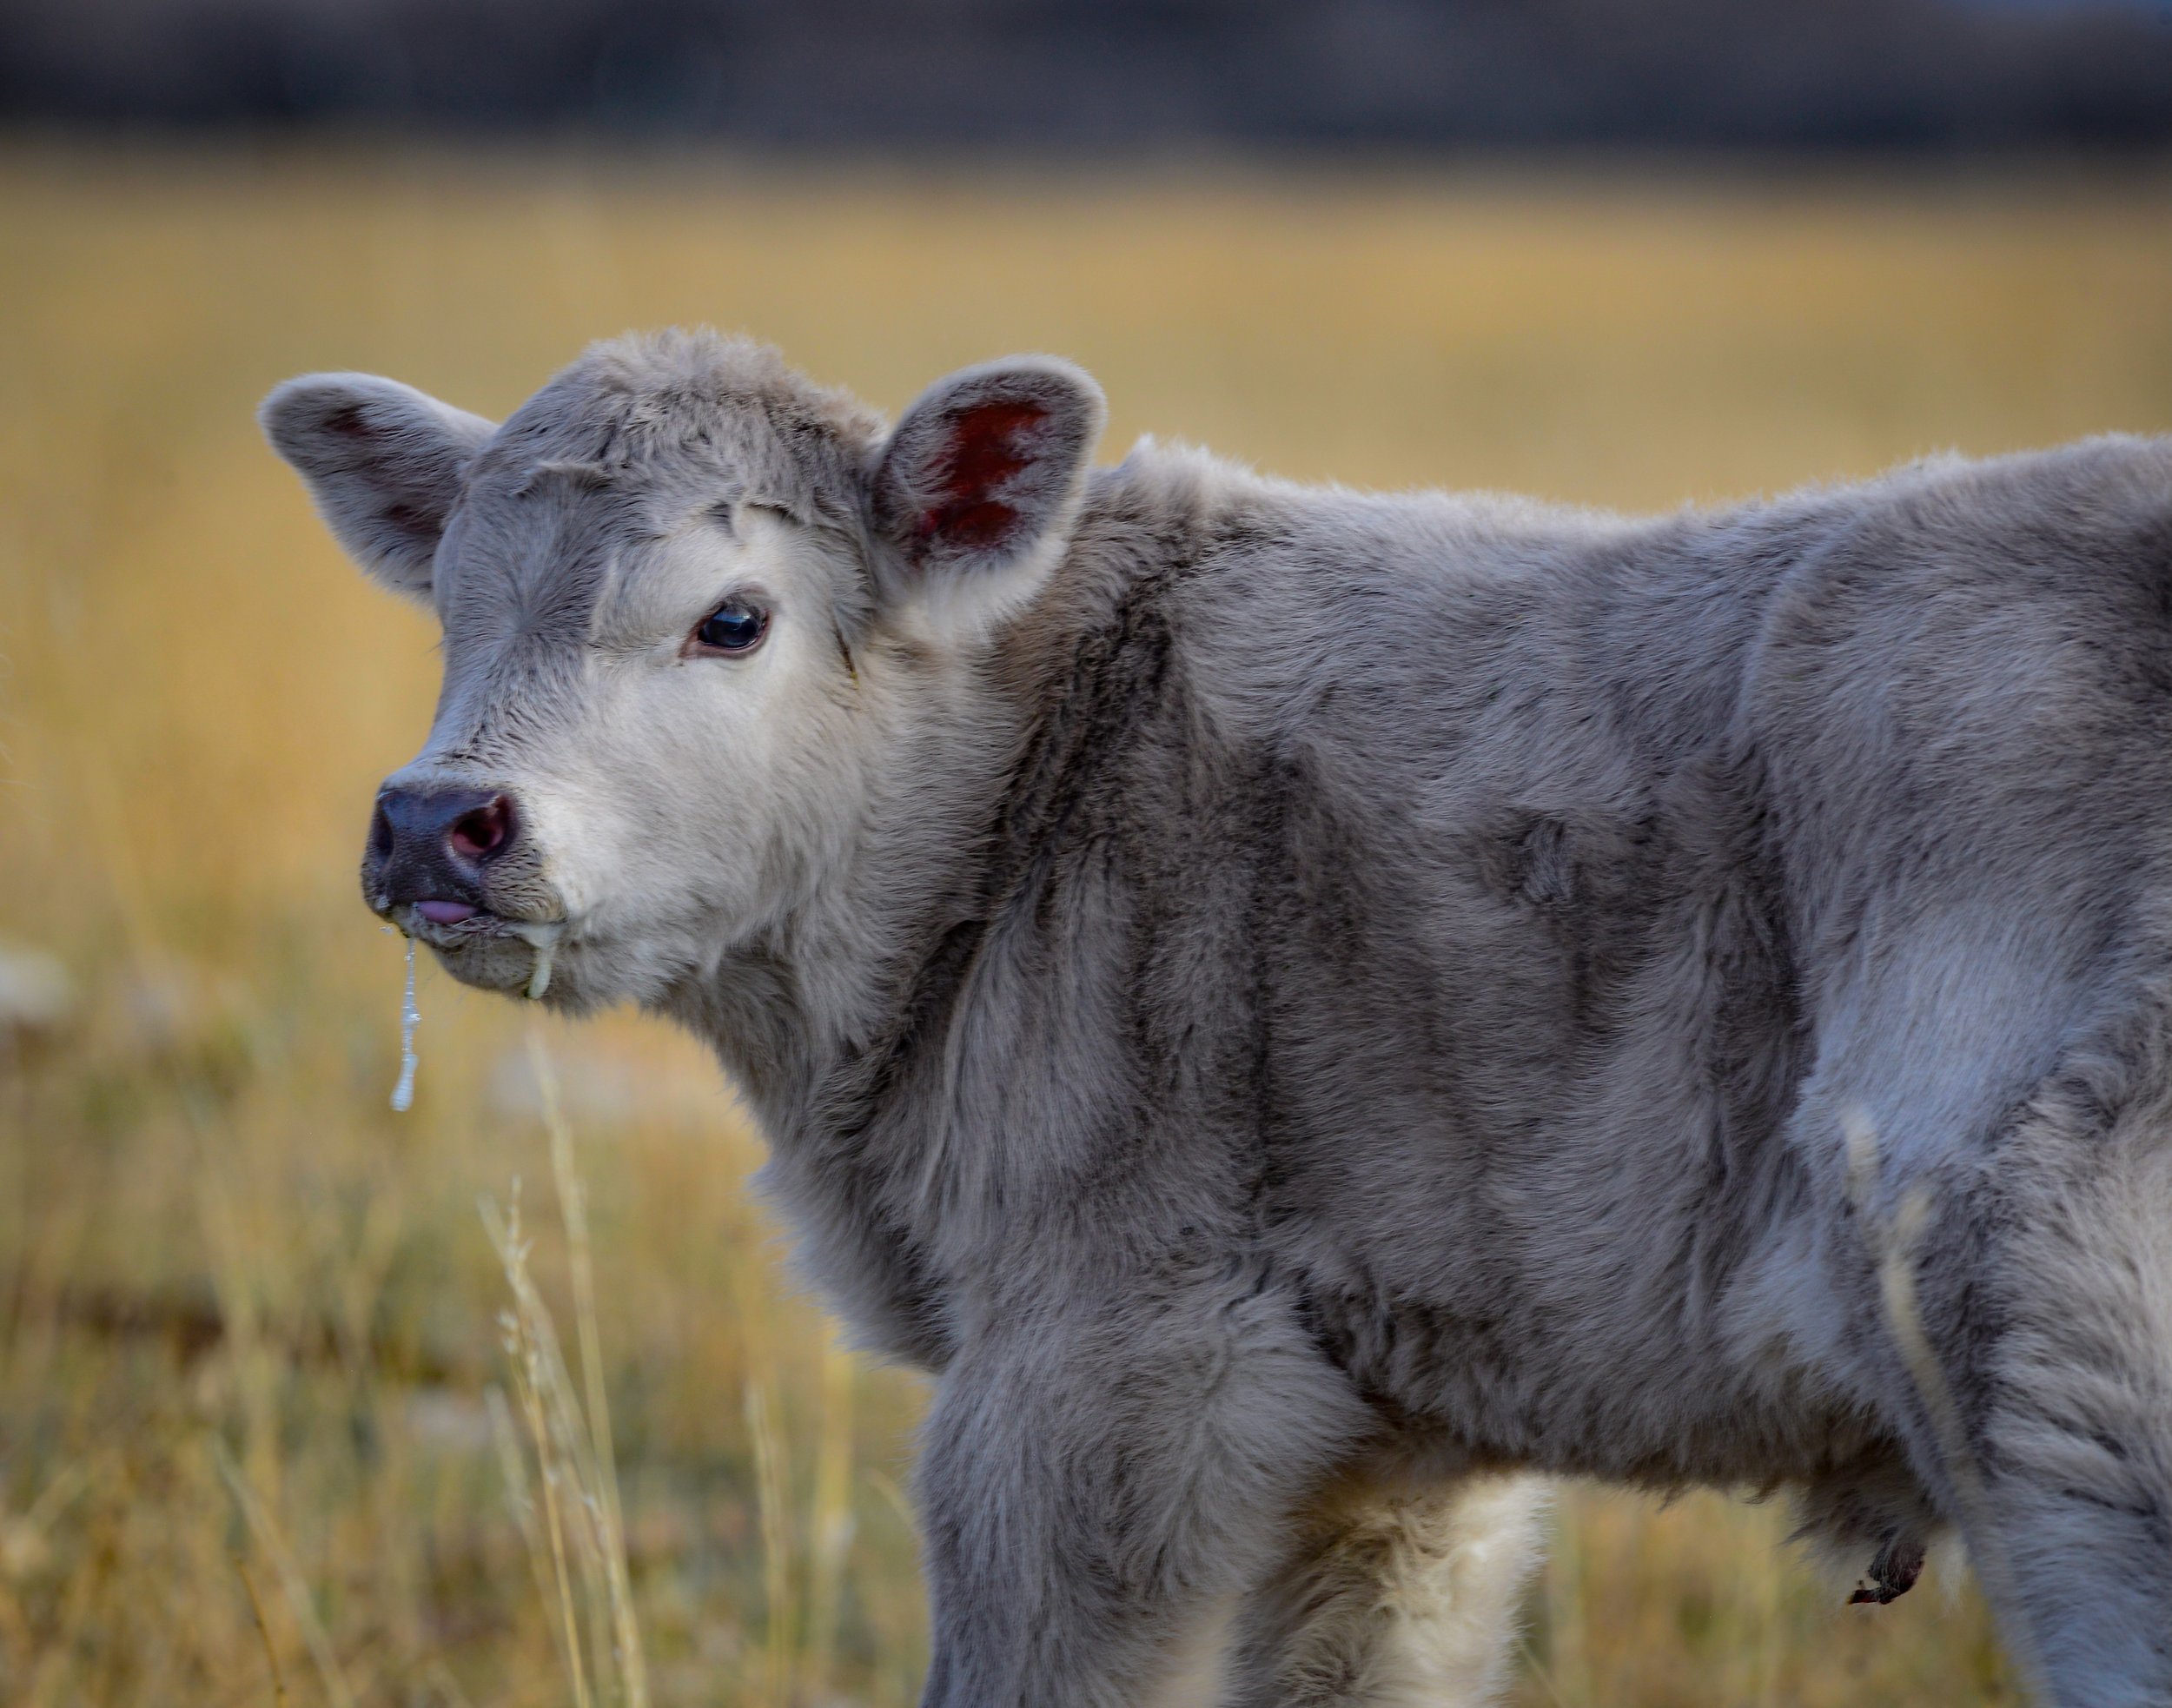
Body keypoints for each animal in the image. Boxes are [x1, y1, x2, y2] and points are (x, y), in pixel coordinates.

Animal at [263, 330, 2172, 1706]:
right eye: (455, 609)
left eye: (731, 620)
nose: (437, 819)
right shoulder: (1394, 1459)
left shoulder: (1104, 1377)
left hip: (2060, 1374)